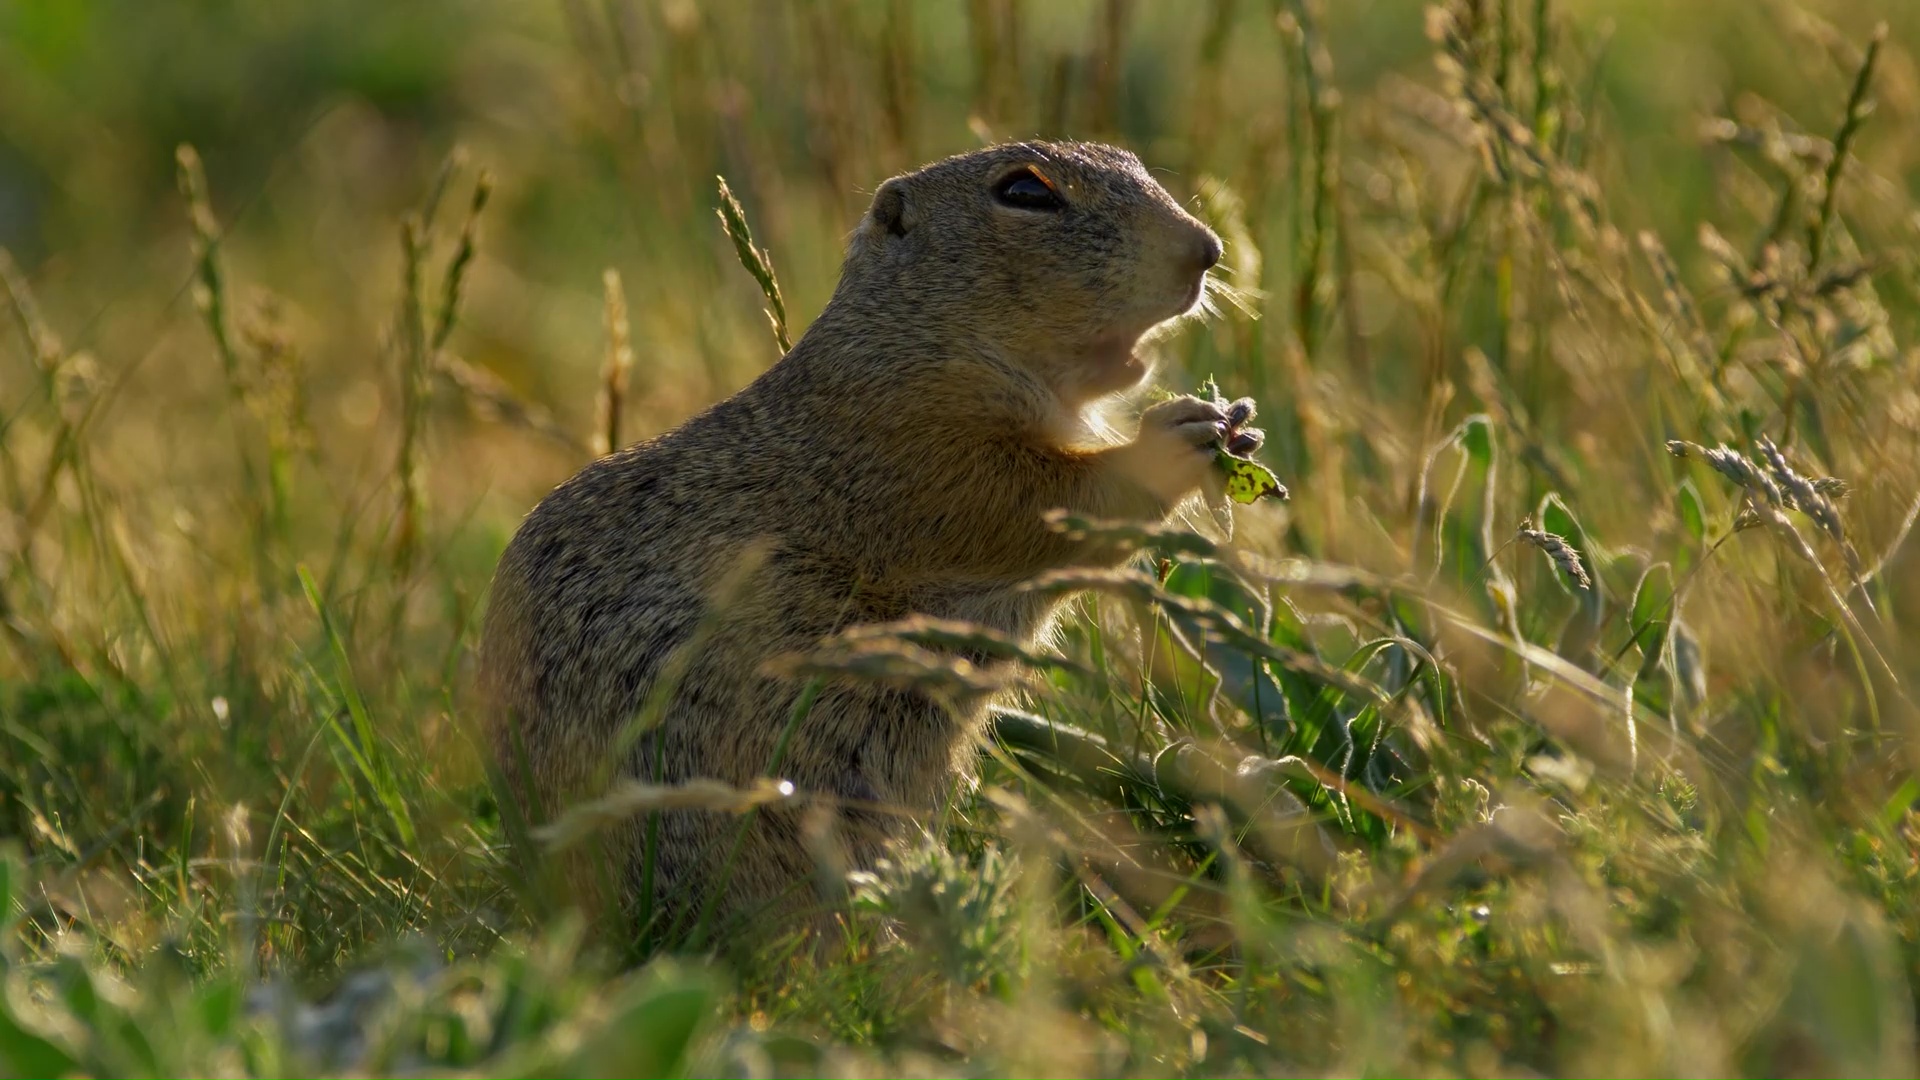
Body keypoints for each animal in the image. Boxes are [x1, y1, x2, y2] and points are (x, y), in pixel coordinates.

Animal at [479, 140, 1252, 942]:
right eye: (1025, 193)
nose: (1205, 248)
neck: (909, 341)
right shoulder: (919, 451)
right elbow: (1043, 502)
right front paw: (1174, 435)